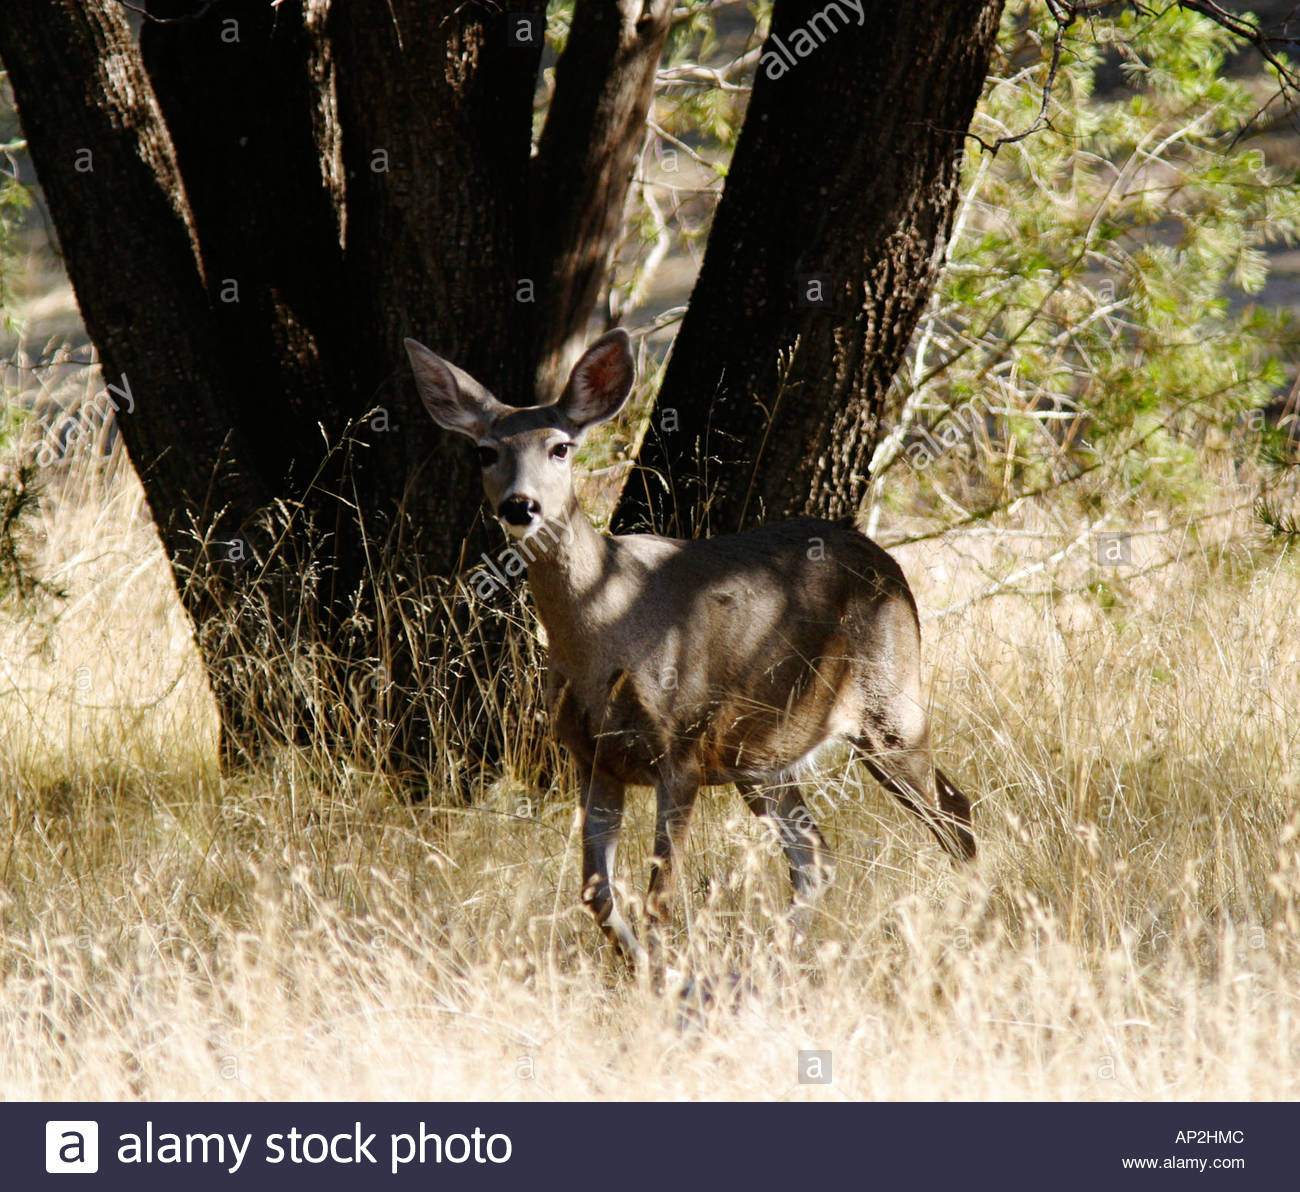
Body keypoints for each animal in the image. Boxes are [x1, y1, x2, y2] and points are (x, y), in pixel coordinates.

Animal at [405, 329, 975, 968]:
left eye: (560, 447)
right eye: (485, 451)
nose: (519, 505)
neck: (607, 630)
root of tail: (890, 567)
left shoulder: (681, 747)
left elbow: (659, 895)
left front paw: (665, 973)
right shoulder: (591, 757)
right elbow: (596, 891)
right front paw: (645, 969)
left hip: (890, 704)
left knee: (954, 812)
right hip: (761, 755)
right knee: (815, 852)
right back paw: (776, 961)